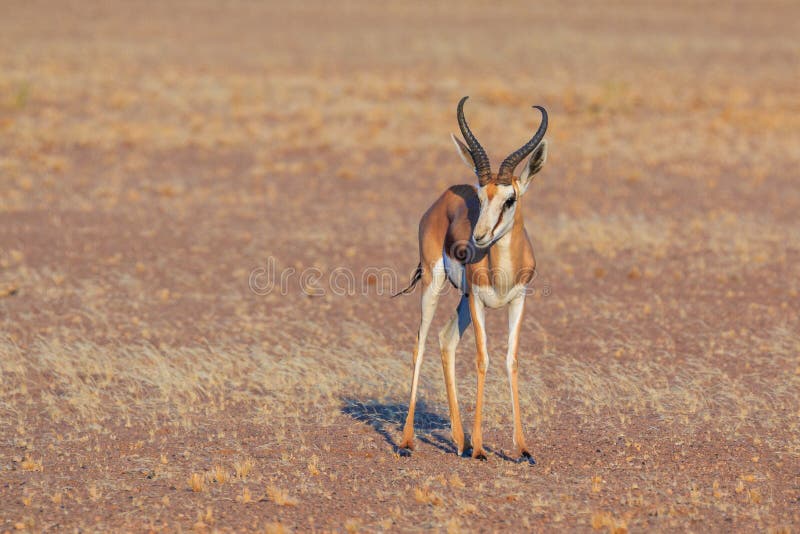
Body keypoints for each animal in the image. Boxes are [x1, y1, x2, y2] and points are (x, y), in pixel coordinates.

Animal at [394, 96, 548, 461]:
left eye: (510, 199)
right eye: (479, 198)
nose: (478, 238)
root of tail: (444, 197)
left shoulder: (519, 299)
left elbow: (511, 360)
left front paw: (523, 448)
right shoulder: (479, 300)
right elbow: (482, 360)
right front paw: (480, 448)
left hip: (462, 300)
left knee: (446, 340)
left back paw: (459, 439)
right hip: (433, 285)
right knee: (420, 343)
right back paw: (408, 442)